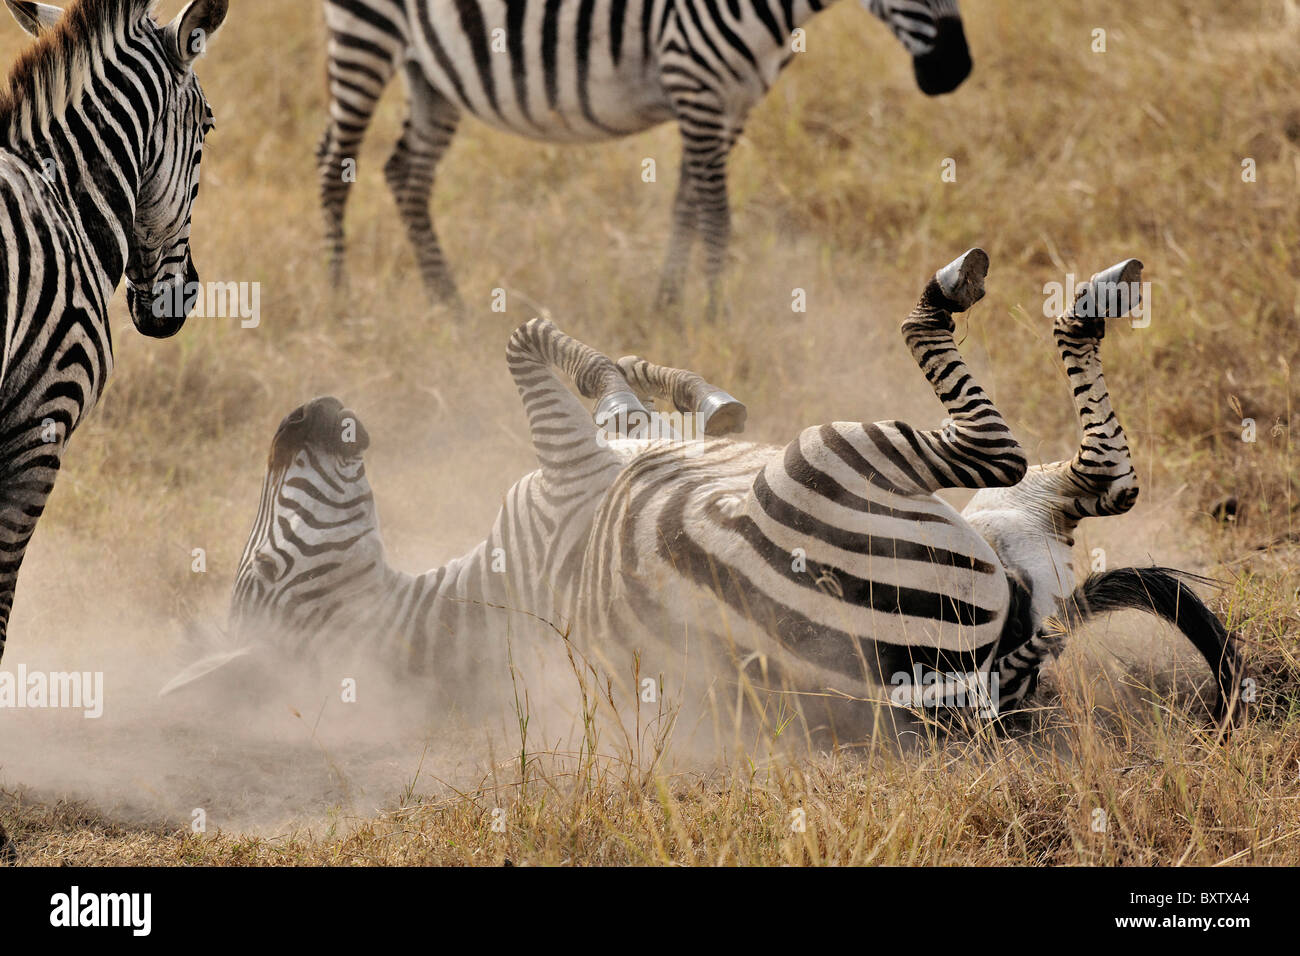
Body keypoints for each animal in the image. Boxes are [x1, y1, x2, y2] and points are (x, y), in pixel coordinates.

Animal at [172, 250, 1242, 743]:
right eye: (260, 574)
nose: (304, 412)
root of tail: (985, 679)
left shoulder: (583, 465)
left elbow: (621, 386)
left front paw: (699, 395)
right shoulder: (564, 474)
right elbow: (539, 353)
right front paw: (662, 386)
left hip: (1006, 527)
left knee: (1092, 482)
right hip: (836, 464)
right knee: (1035, 457)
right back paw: (987, 295)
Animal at [316, 0, 972, 316]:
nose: (955, 70)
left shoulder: (731, 101)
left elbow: (686, 206)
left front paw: (669, 306)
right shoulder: (695, 80)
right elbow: (716, 215)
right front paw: (716, 314)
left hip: (432, 71)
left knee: (406, 172)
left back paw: (448, 305)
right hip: (365, 34)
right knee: (334, 163)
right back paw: (340, 304)